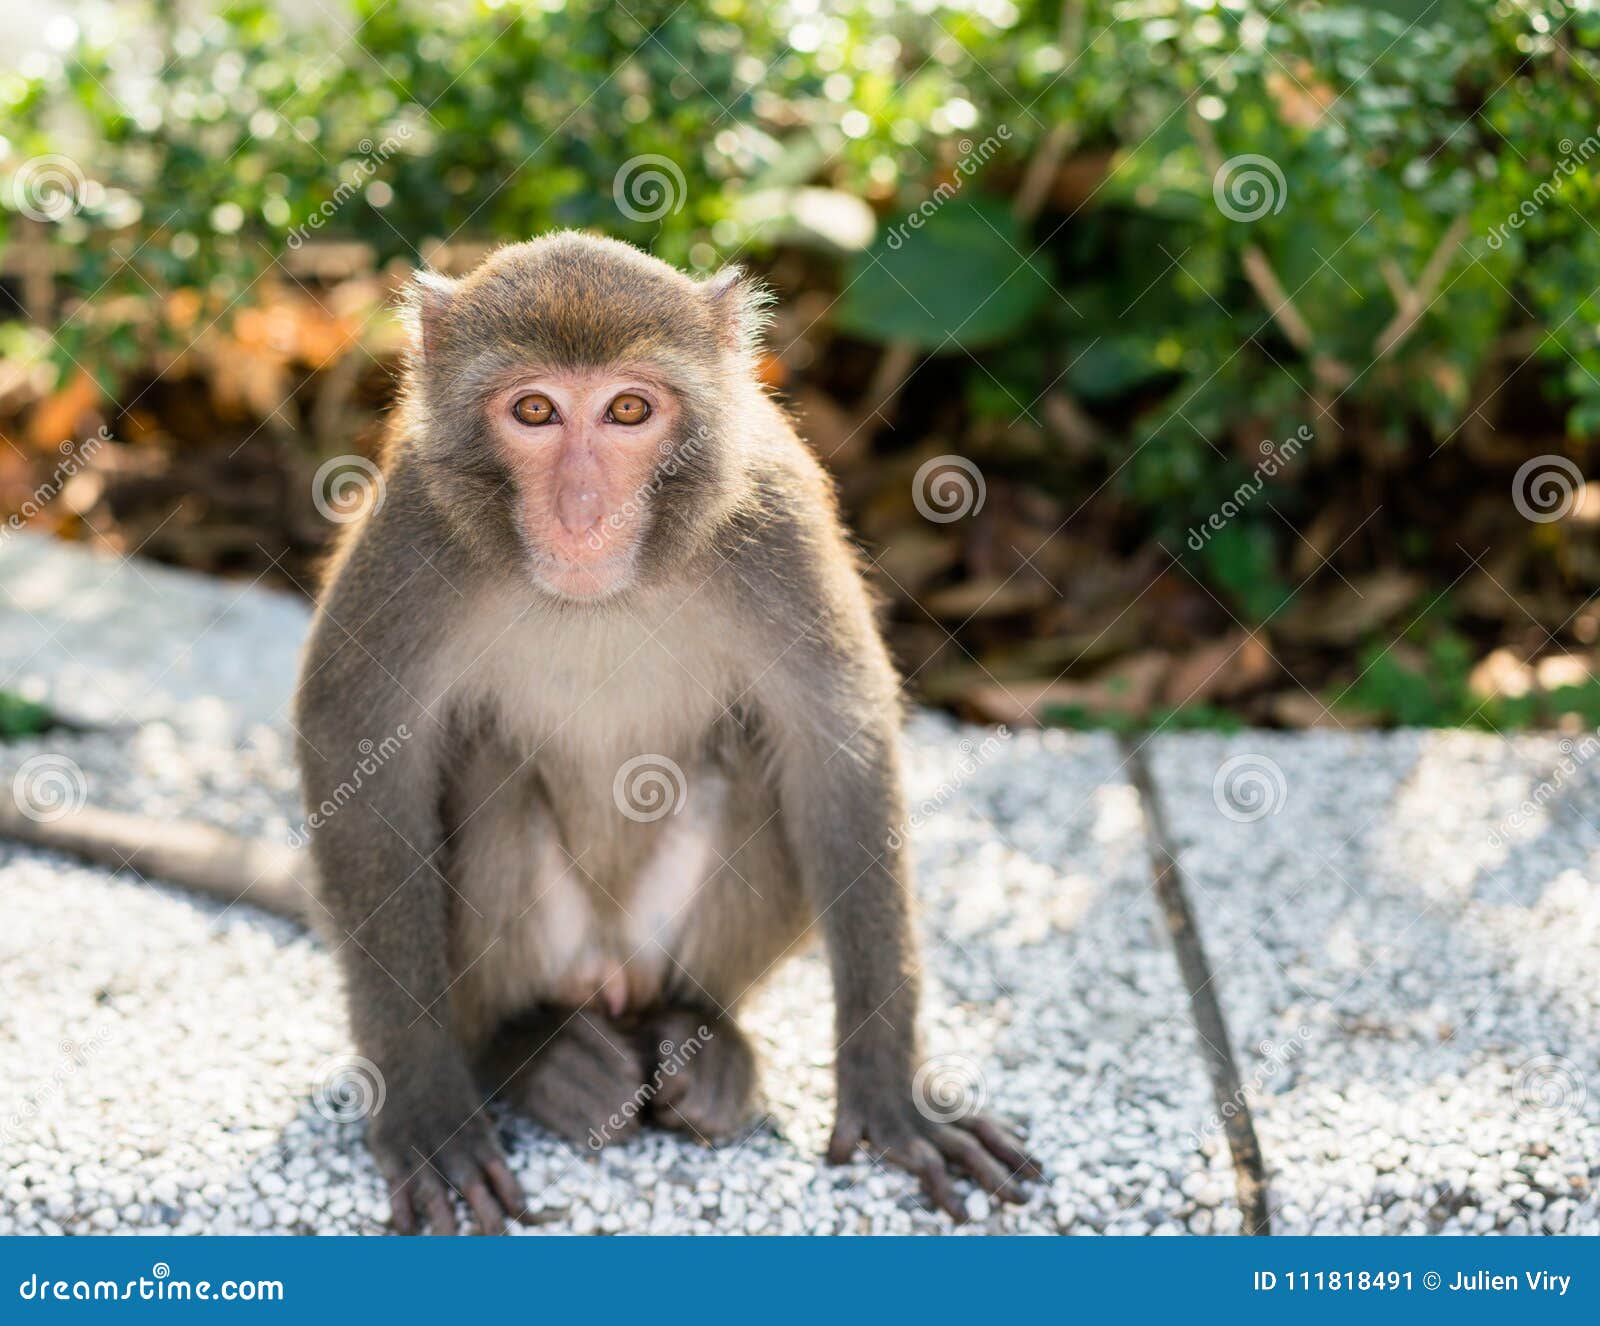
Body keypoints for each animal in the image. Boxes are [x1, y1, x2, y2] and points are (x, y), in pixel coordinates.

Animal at [0, 231, 1039, 1233]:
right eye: (534, 412)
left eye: (628, 410)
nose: (581, 511)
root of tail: (611, 979)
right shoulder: (413, 526)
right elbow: (360, 753)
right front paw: (426, 1105)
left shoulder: (773, 514)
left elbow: (834, 744)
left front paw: (892, 1093)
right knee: (491, 774)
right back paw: (527, 1053)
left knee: (748, 763)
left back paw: (700, 1039)